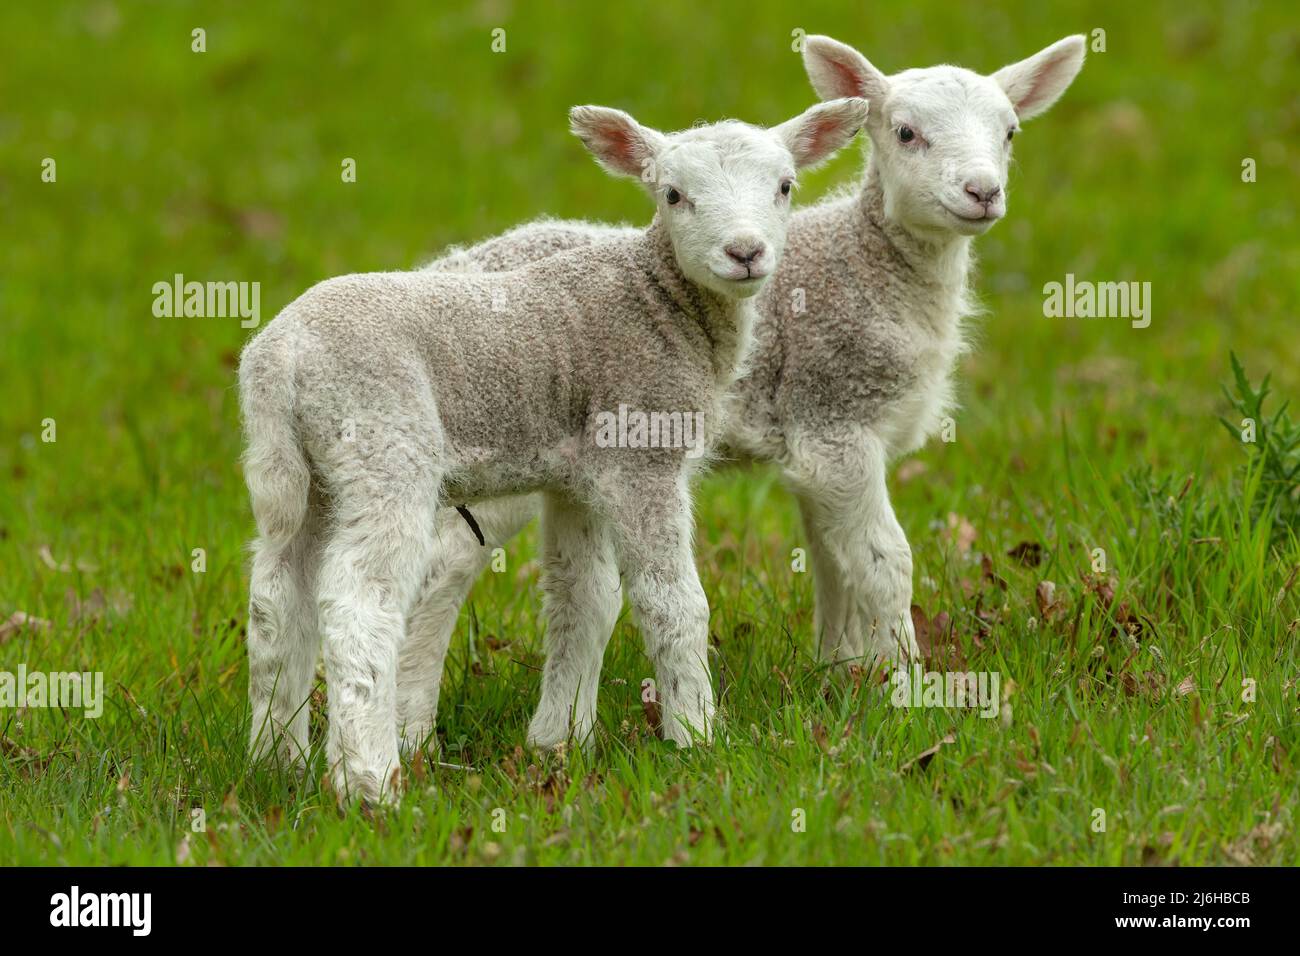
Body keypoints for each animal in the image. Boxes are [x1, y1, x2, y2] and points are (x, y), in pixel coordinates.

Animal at [239, 97, 870, 803]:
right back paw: (369, 784)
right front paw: (698, 738)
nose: (746, 252)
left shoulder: (579, 477)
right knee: (357, 603)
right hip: (380, 445)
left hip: (309, 473)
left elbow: (584, 599)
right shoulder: (642, 451)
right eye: (673, 195)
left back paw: (277, 761)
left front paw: (560, 741)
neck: (660, 300)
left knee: (276, 598)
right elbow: (671, 600)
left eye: (785, 187)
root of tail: (280, 357)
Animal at [395, 34, 1087, 754]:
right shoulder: (836, 416)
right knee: (442, 565)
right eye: (905, 132)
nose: (983, 192)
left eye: (1010, 132)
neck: (868, 266)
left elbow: (832, 562)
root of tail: (441, 269)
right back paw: (413, 733)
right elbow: (884, 560)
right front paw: (906, 687)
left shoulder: (813, 445)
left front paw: (843, 672)